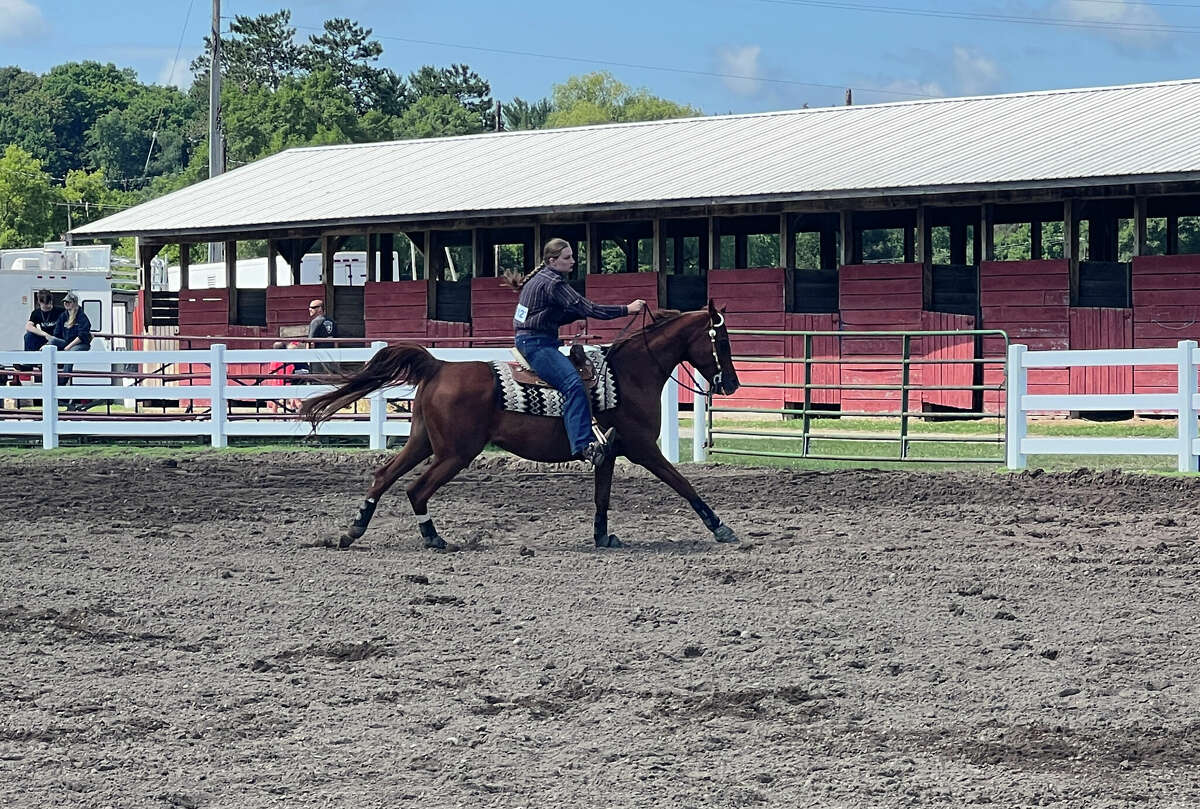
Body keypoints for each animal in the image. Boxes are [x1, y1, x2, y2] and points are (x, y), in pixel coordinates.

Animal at [300, 300, 741, 551]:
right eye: (721, 341)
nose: (732, 384)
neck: (630, 372)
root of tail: (439, 365)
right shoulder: (643, 447)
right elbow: (682, 483)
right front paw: (721, 528)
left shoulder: (609, 453)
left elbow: (602, 497)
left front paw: (603, 537)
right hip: (455, 452)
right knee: (416, 488)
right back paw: (434, 538)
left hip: (424, 442)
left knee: (385, 475)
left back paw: (354, 530)